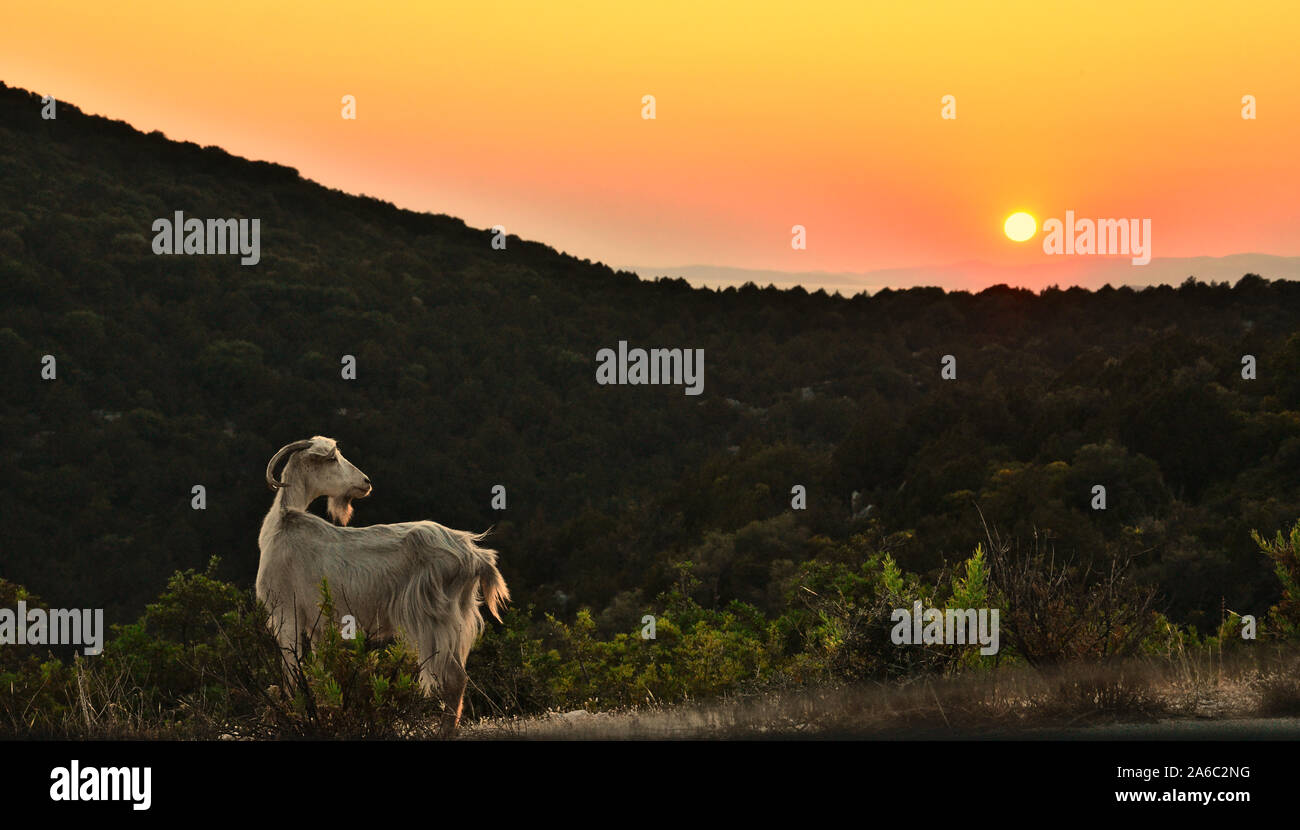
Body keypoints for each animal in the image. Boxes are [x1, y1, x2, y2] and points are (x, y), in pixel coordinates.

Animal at [255, 436, 509, 735]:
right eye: (332, 458)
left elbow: (292, 672)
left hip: (433, 618)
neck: (282, 524)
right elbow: (318, 674)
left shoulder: (285, 613)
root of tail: (475, 555)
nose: (365, 482)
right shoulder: (316, 626)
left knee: (455, 677)